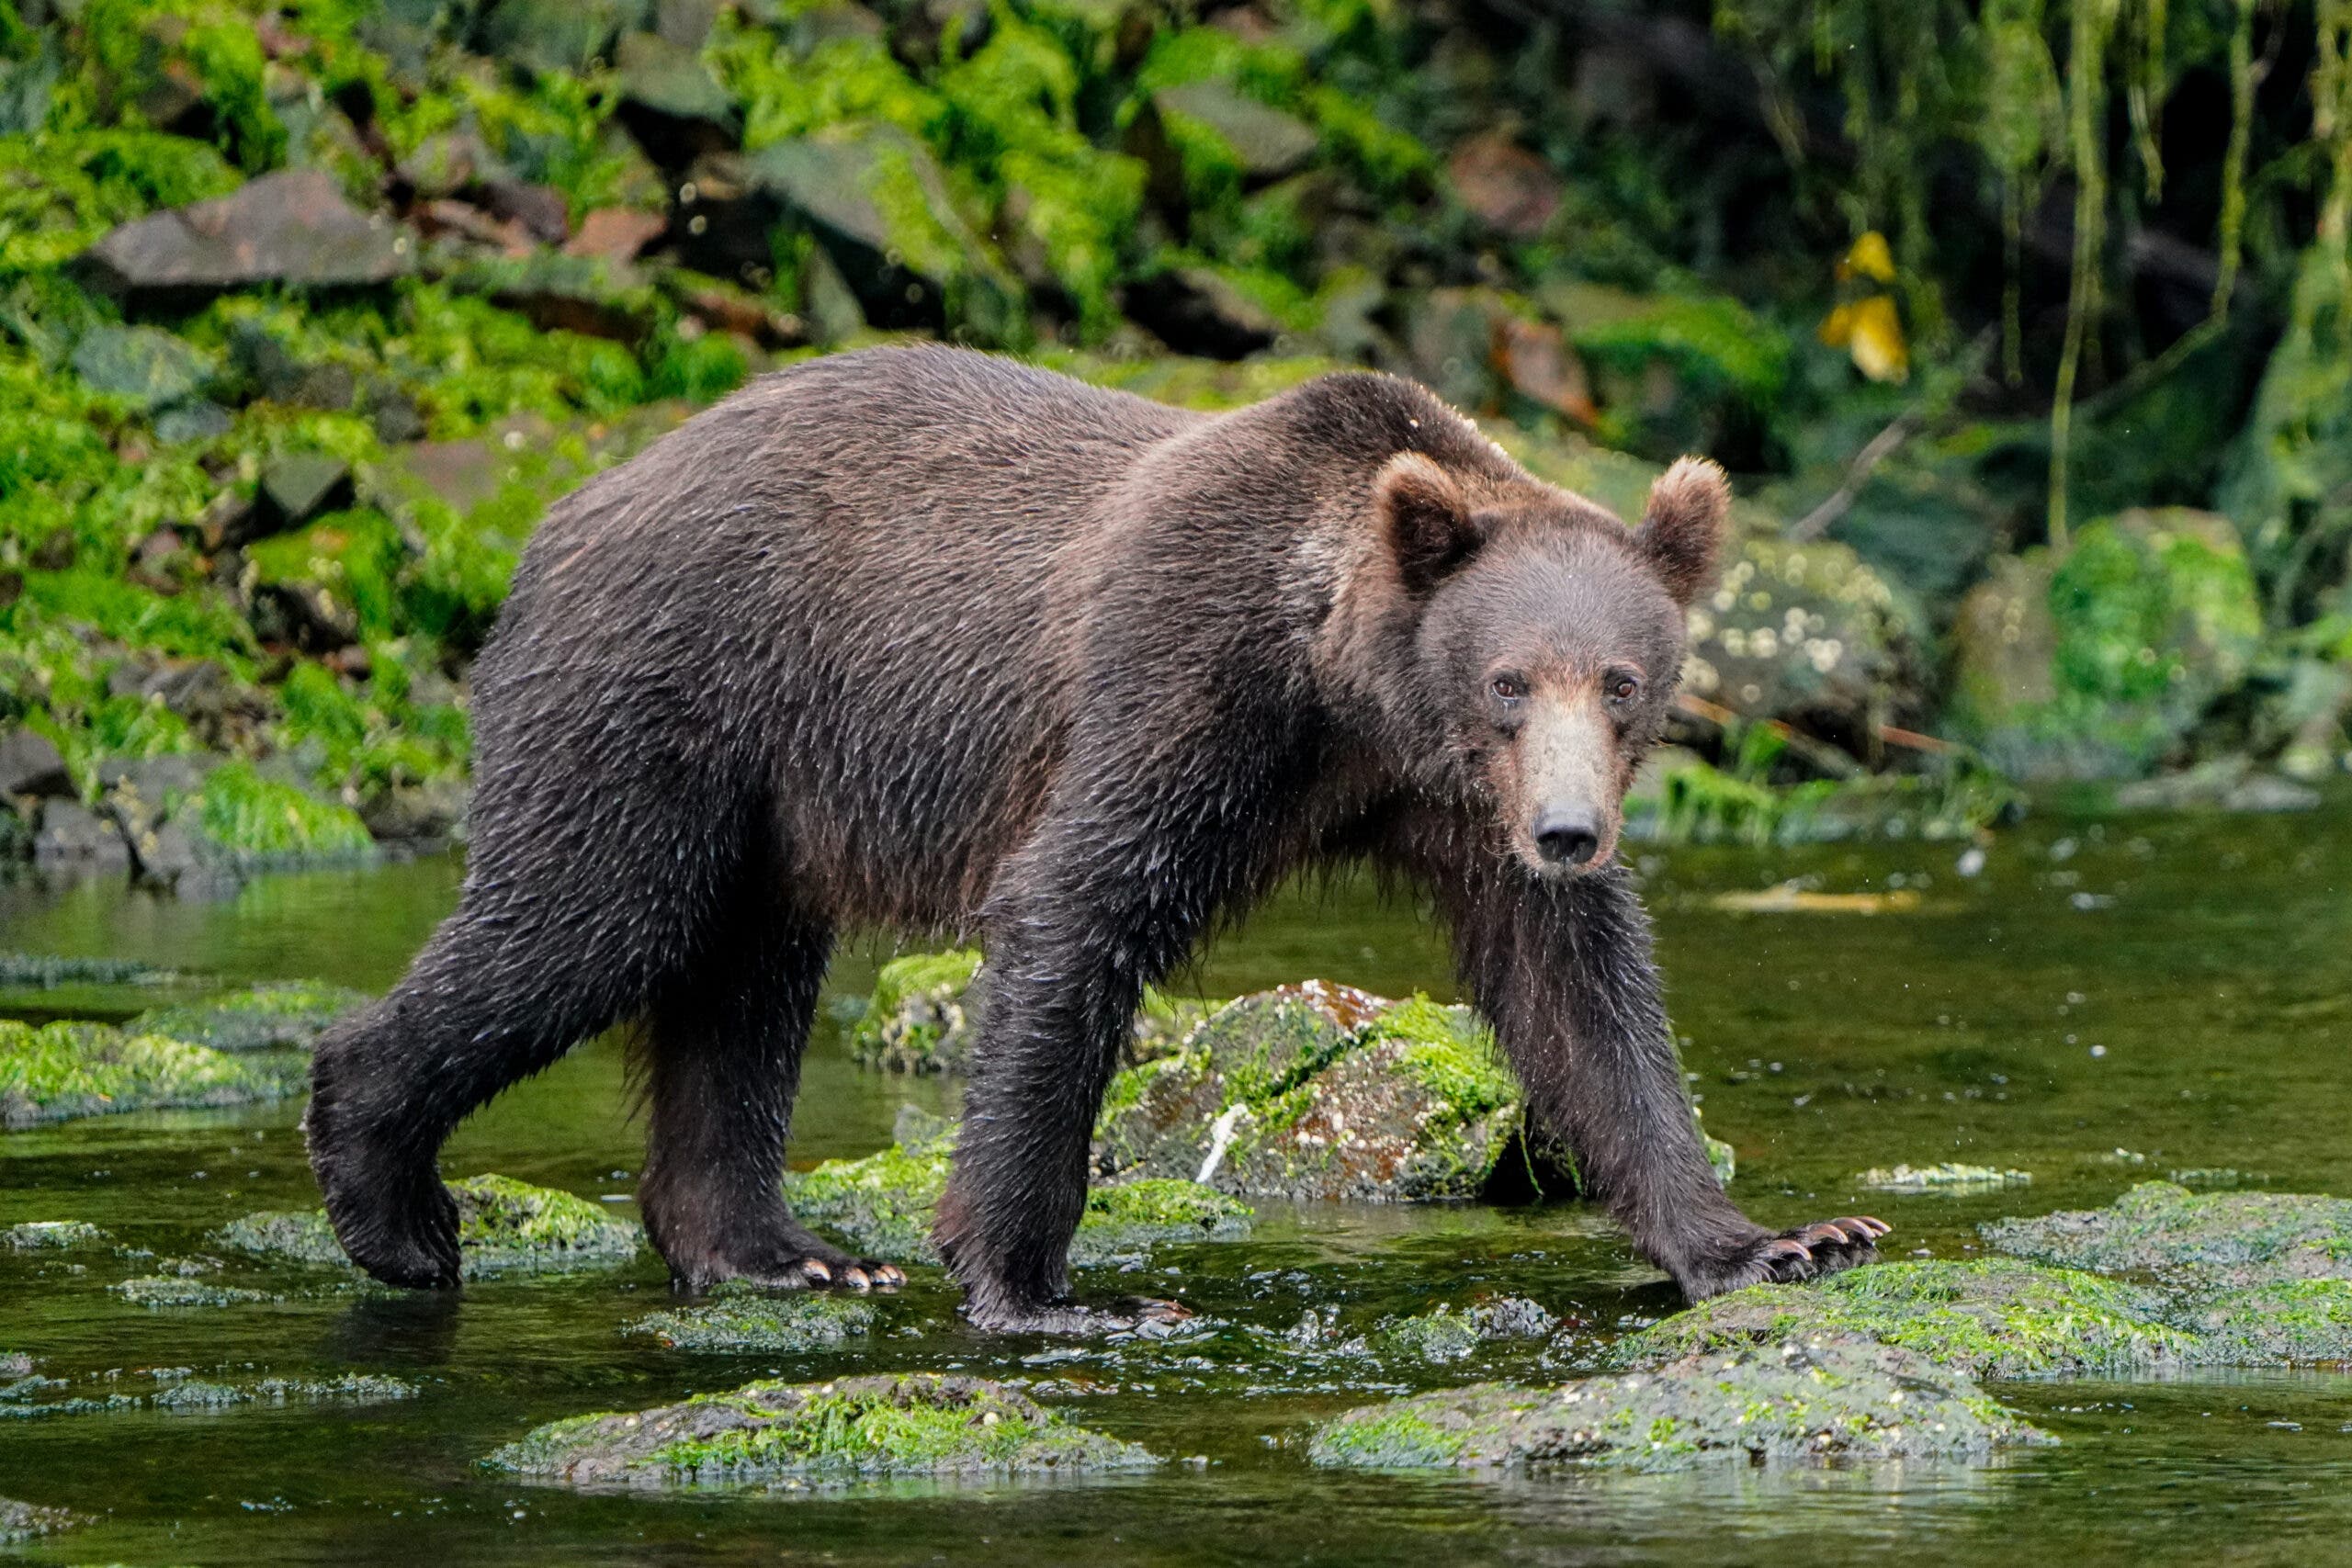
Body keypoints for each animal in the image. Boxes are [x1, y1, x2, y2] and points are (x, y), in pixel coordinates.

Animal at [306, 344, 1885, 1331]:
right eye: (1510, 681)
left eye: (1622, 683)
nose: (1567, 829)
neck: (1345, 689)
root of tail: (560, 511)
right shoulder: (1180, 679)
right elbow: (1077, 909)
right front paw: (1041, 1284)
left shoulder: (1433, 799)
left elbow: (1581, 1002)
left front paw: (1779, 1238)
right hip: (670, 694)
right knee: (588, 919)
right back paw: (395, 1197)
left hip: (771, 790)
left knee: (743, 982)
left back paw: (782, 1252)